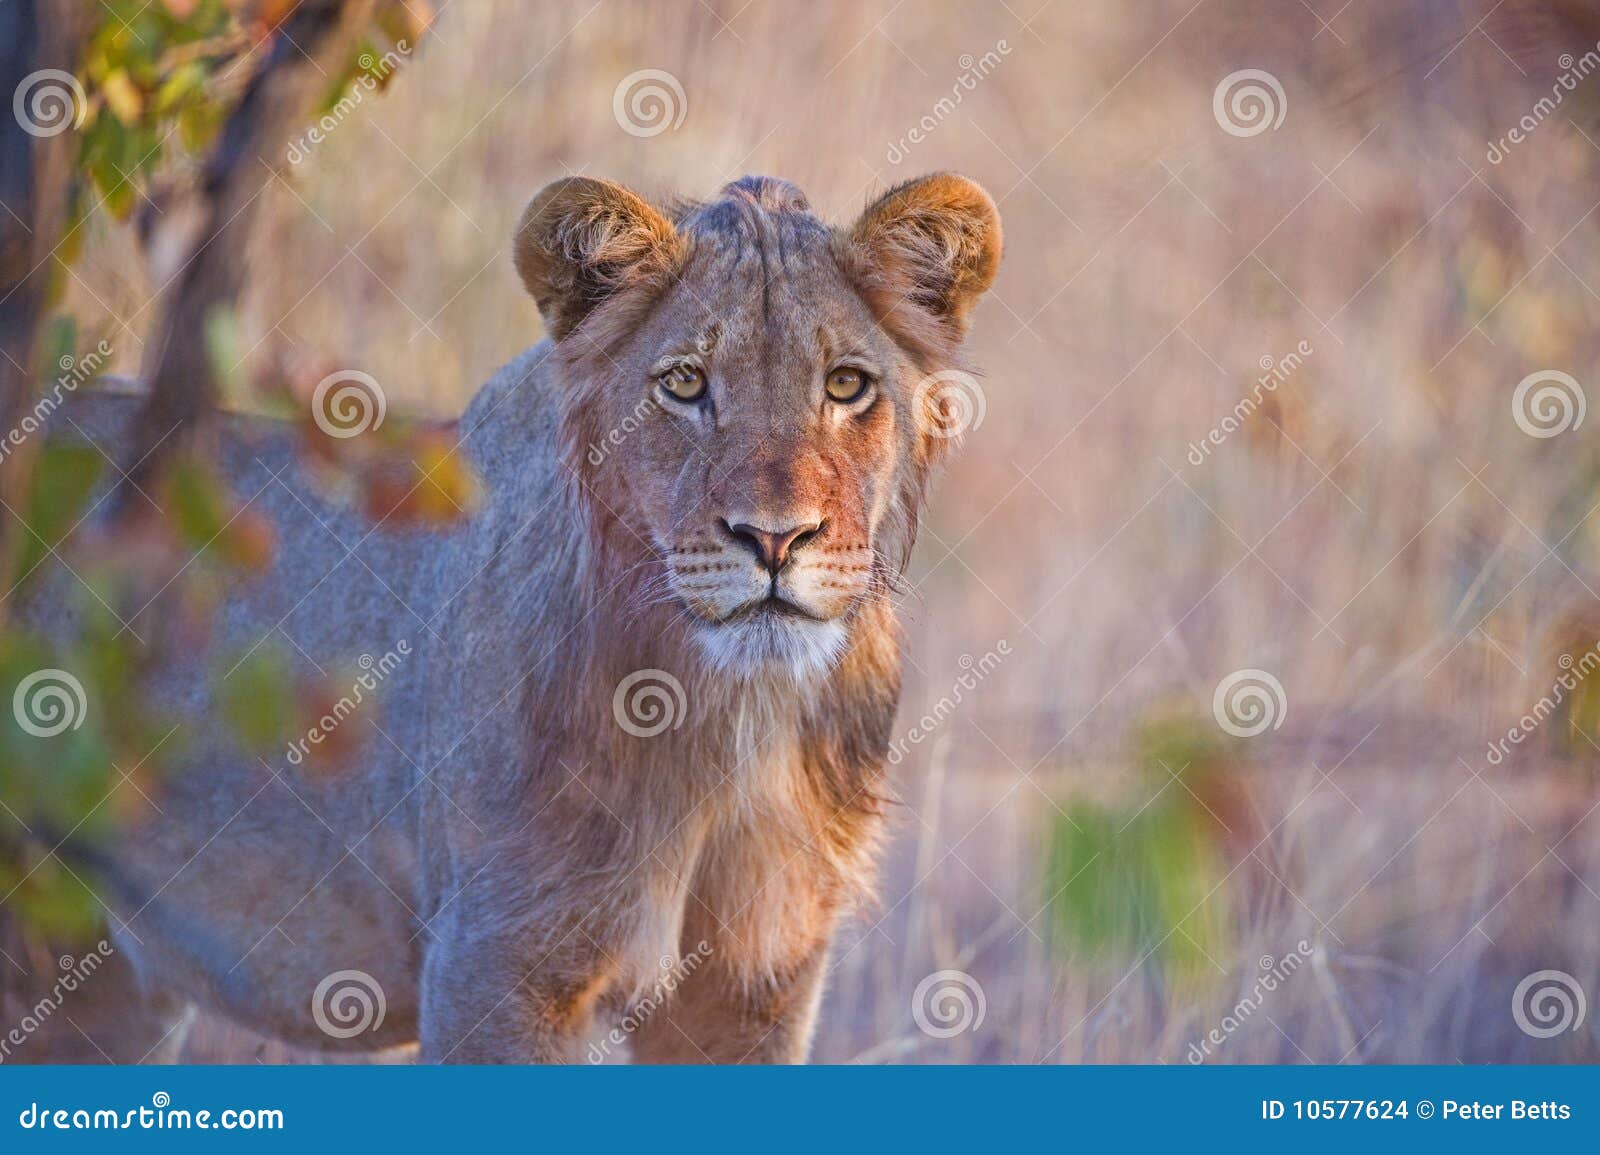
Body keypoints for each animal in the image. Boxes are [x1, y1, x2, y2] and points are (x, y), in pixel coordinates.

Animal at [9, 172, 1001, 1063]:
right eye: (685, 383)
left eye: (847, 384)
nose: (774, 537)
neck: (733, 722)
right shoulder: (494, 966)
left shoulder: (759, 981)